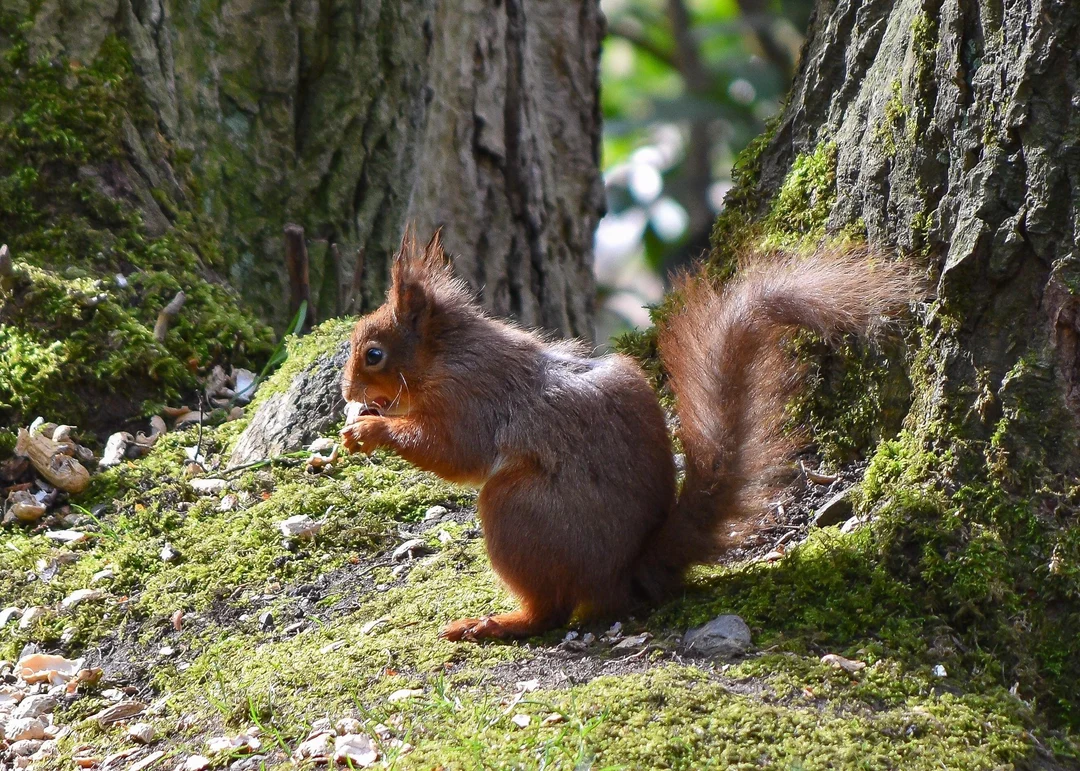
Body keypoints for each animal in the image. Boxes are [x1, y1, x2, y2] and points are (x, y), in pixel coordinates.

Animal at [340, 228, 920, 642]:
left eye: (374, 354)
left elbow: (454, 452)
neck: (447, 354)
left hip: (517, 511)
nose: (347, 391)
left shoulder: (472, 399)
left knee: (552, 611)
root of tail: (629, 572)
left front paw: (370, 430)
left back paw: (497, 624)